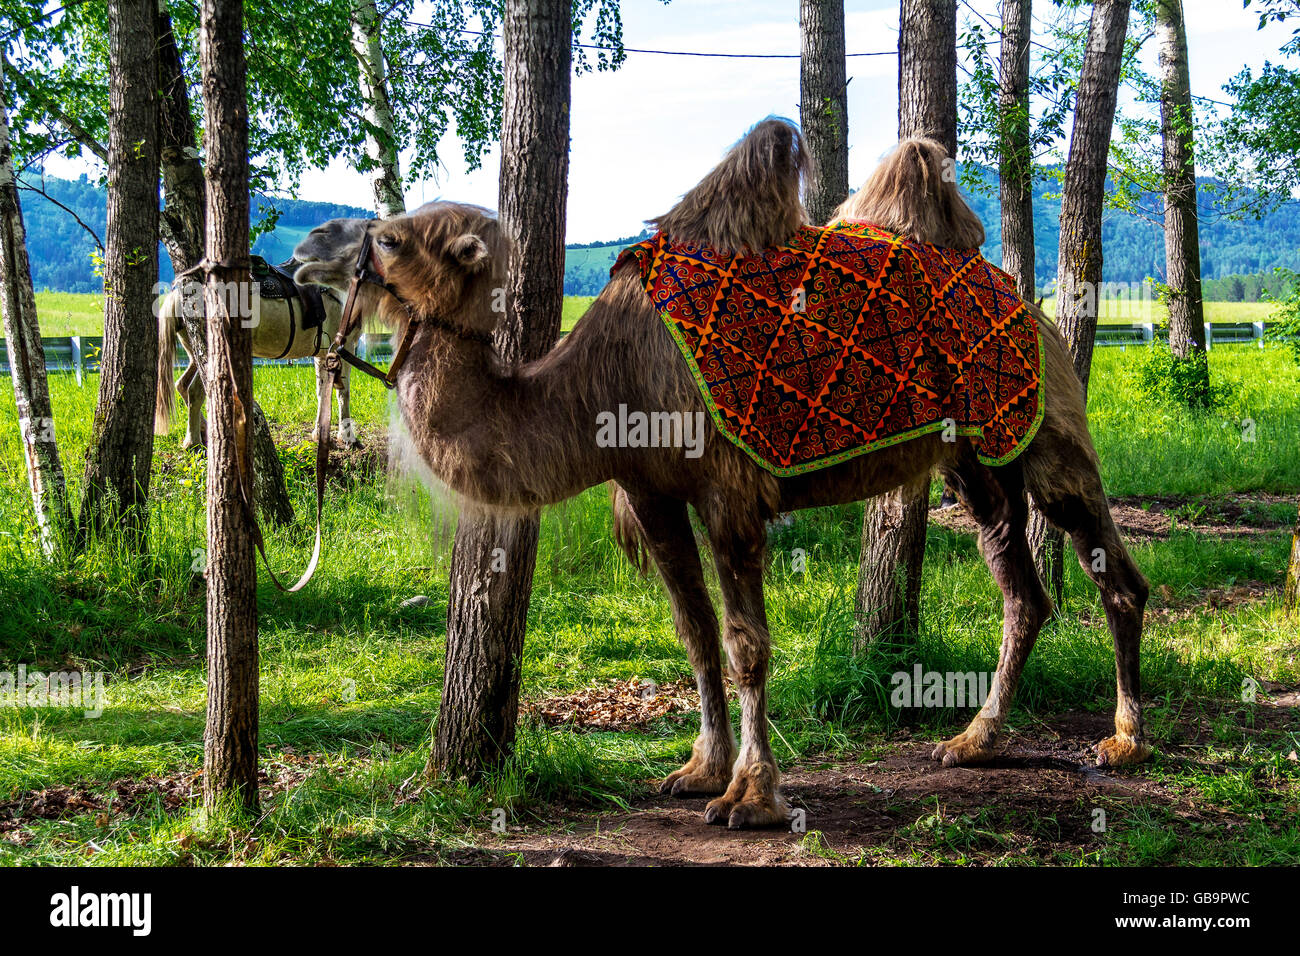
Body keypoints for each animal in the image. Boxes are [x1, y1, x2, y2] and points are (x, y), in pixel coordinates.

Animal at [153, 261, 361, 449]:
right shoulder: (343, 349)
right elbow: (343, 393)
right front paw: (348, 437)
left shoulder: (321, 354)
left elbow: (322, 392)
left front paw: (319, 434)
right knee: (195, 390)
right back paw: (193, 442)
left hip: (194, 351)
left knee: (182, 385)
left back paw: (202, 430)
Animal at [291, 119, 1152, 830]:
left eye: (391, 239)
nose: (304, 248)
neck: (597, 386)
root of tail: (1023, 298)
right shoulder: (650, 491)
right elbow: (695, 633)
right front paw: (701, 769)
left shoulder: (726, 491)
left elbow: (746, 645)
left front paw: (753, 797)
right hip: (976, 461)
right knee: (1022, 588)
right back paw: (974, 738)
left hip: (1044, 431)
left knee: (1114, 573)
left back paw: (1124, 741)